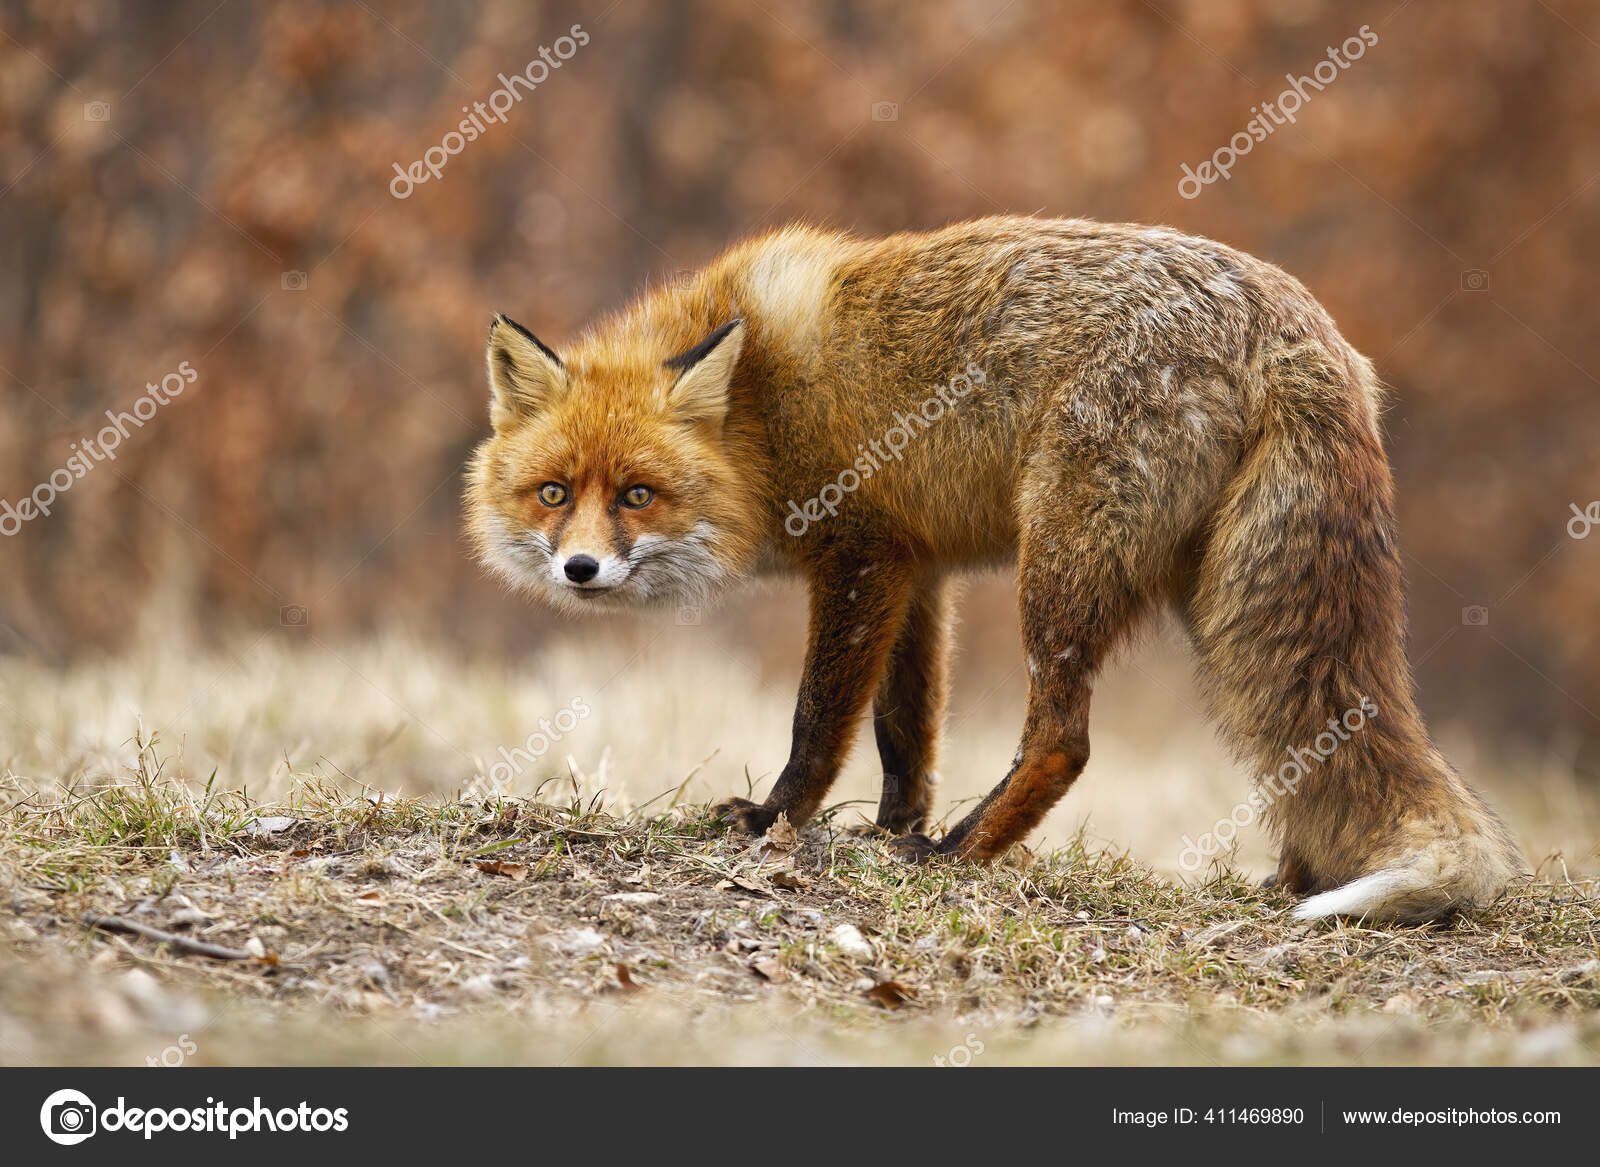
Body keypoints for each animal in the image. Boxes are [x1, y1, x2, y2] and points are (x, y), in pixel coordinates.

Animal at [465, 215, 1526, 923]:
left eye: (637, 494)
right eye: (554, 493)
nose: (580, 569)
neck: (762, 409)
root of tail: (1305, 330)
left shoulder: (858, 555)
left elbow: (819, 724)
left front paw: (775, 822)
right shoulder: (916, 570)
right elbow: (905, 734)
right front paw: (887, 829)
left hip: (1061, 564)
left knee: (1064, 739)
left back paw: (961, 853)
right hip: (1215, 603)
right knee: (1297, 741)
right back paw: (1293, 877)